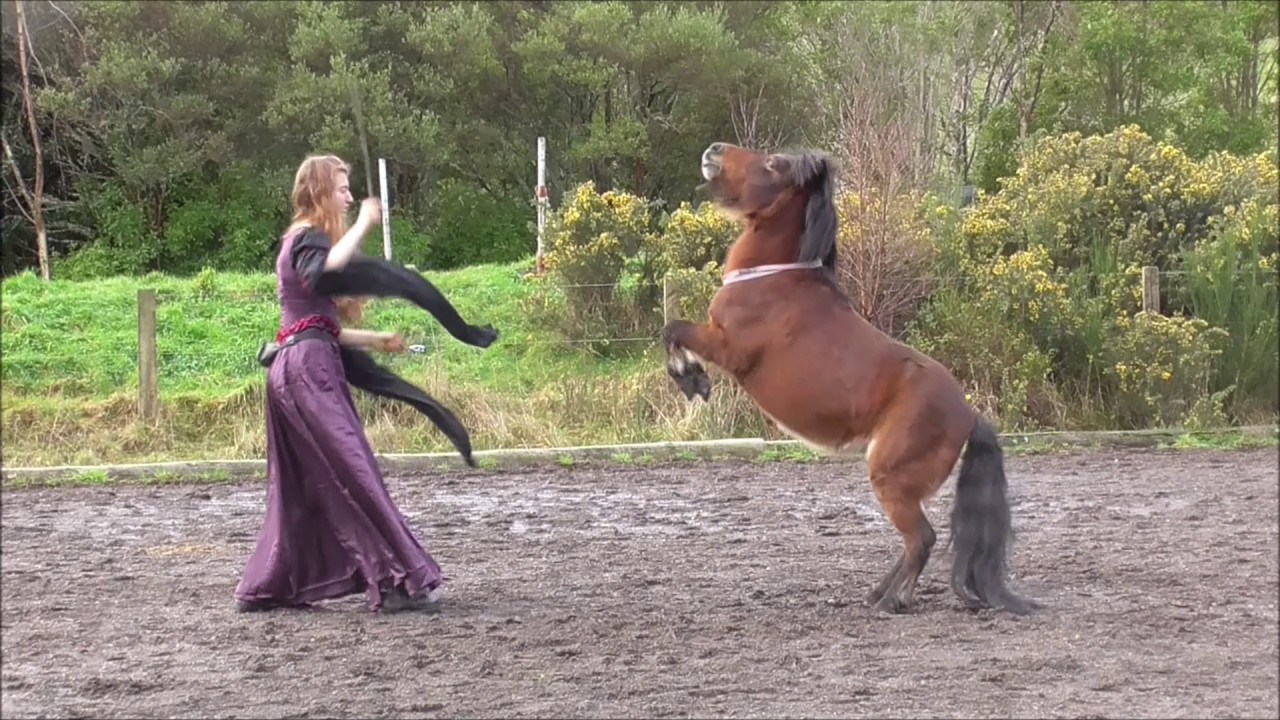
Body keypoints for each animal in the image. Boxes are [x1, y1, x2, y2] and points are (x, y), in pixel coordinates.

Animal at [660, 142, 1040, 616]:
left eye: (772, 164)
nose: (715, 150)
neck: (771, 280)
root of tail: (969, 414)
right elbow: (672, 332)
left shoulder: (726, 347)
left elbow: (673, 330)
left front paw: (691, 378)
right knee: (916, 540)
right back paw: (878, 593)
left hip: (890, 477)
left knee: (922, 538)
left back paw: (893, 600)